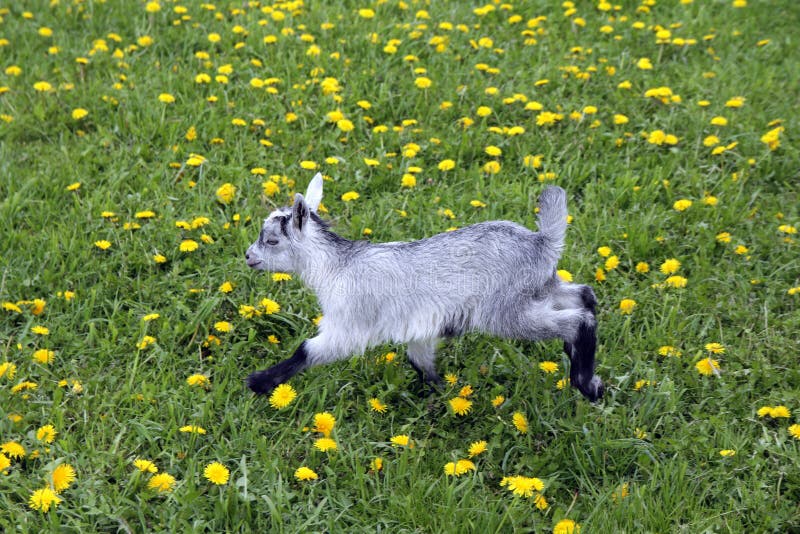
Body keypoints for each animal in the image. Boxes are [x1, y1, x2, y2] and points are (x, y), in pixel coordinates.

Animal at [244, 174, 603, 402]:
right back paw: (579, 362)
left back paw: (586, 383)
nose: (248, 256)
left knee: (577, 320)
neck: (337, 266)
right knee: (584, 295)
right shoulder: (417, 327)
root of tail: (541, 242)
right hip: (540, 287)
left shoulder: (349, 325)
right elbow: (421, 361)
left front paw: (260, 382)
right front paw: (437, 396)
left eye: (272, 240)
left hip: (504, 311)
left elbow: (307, 349)